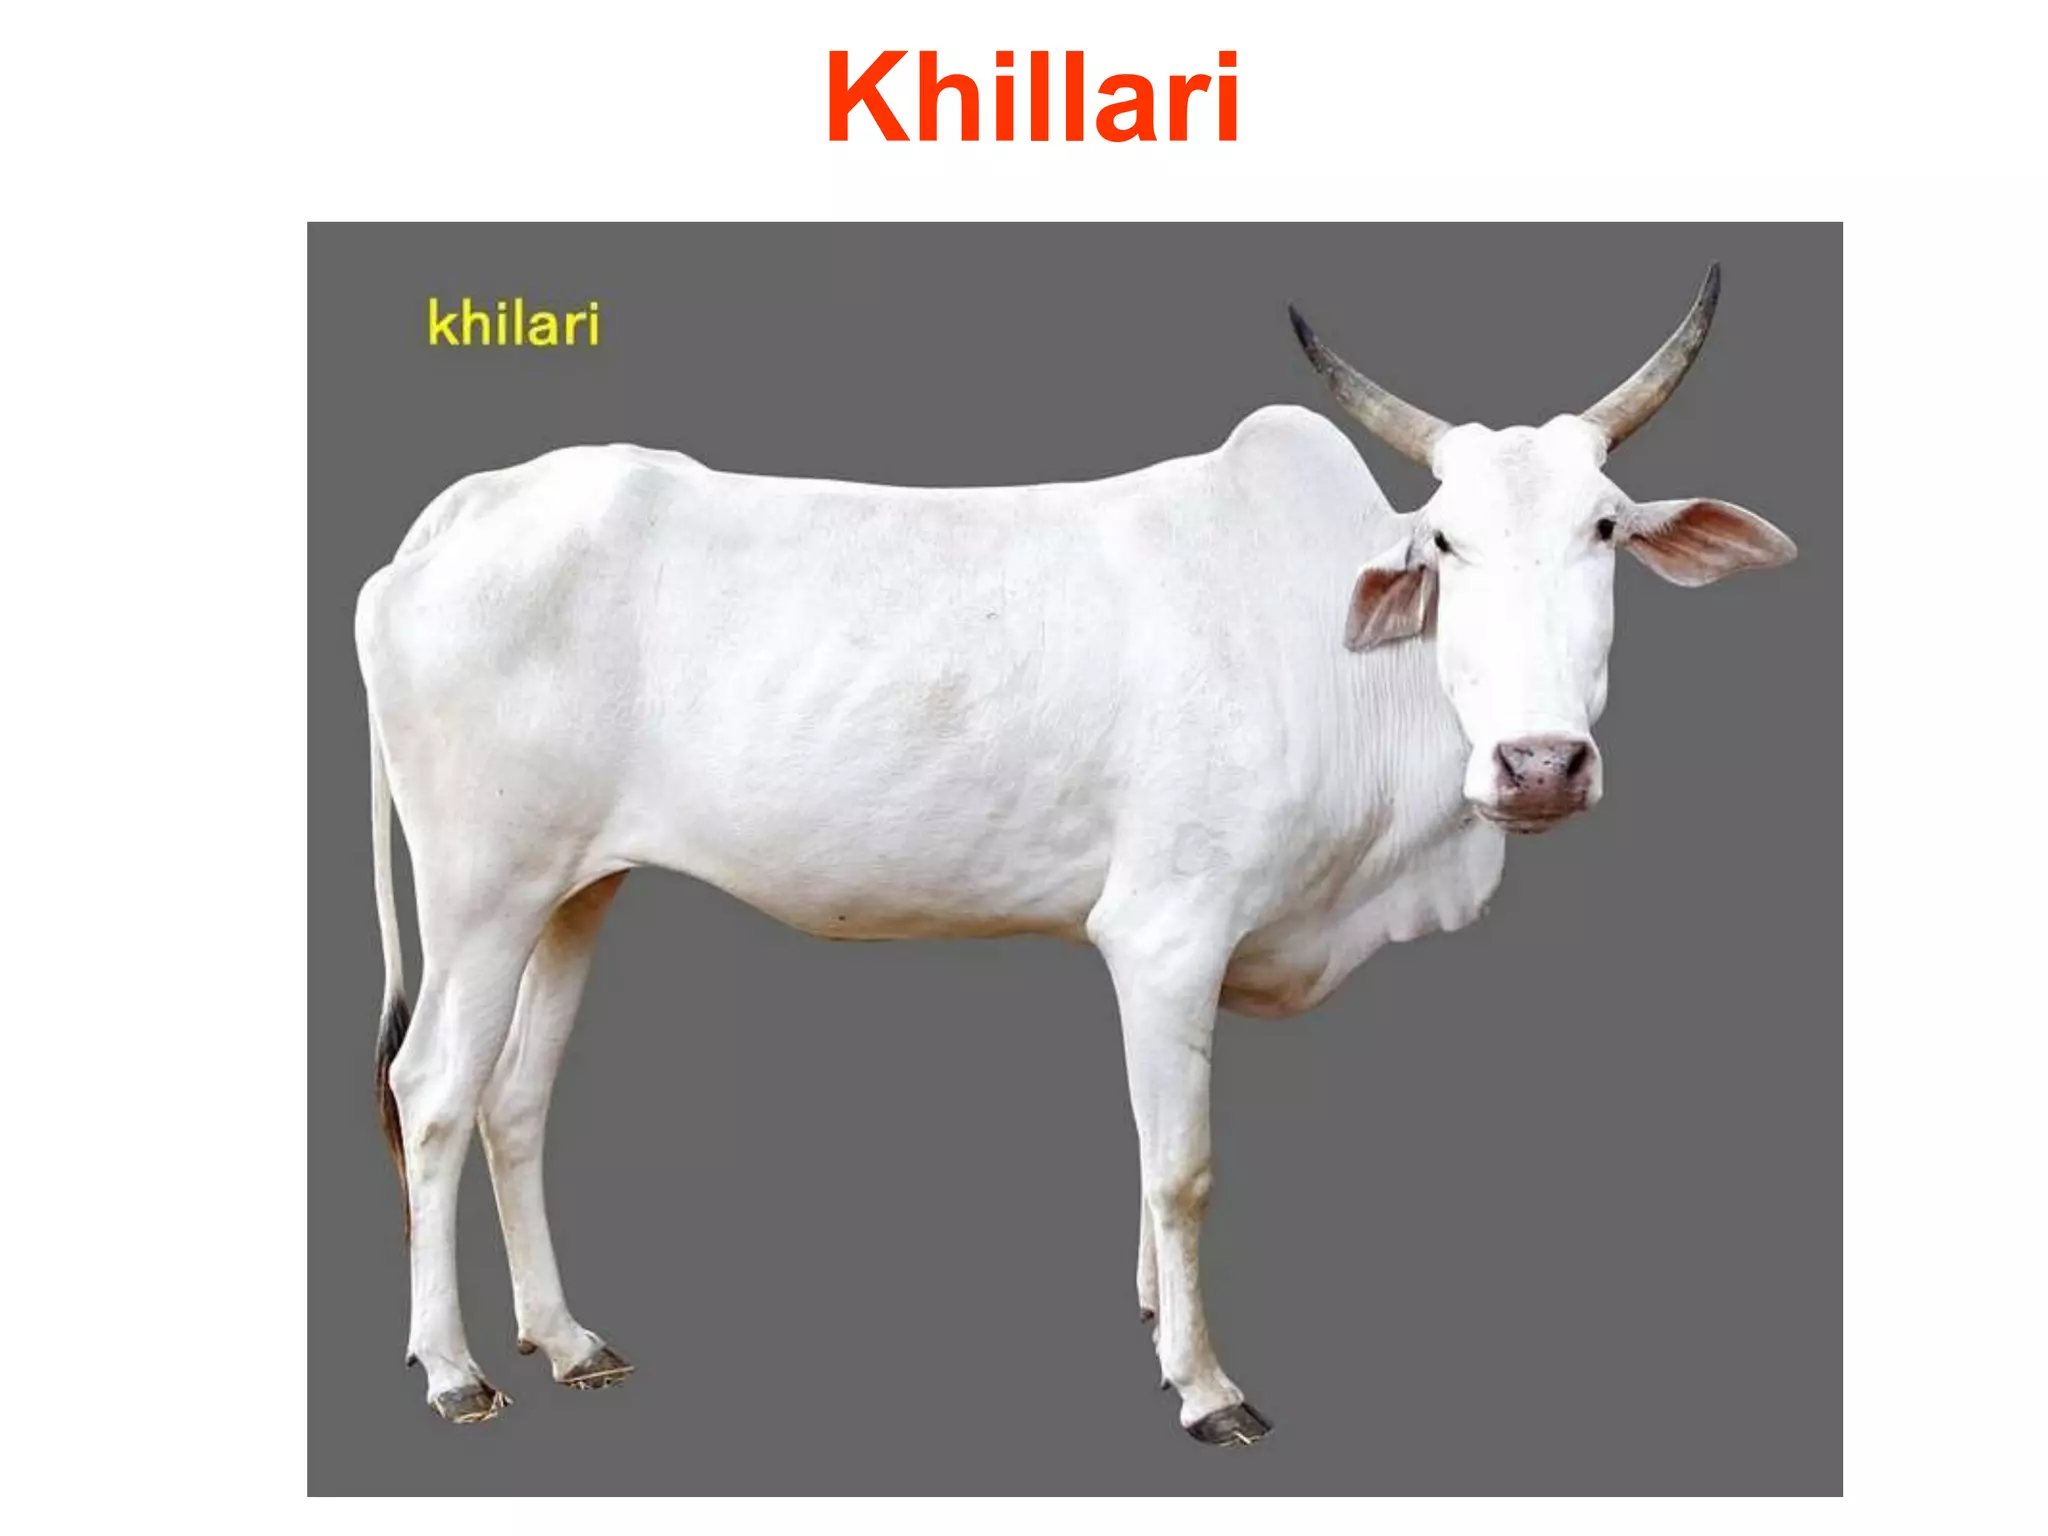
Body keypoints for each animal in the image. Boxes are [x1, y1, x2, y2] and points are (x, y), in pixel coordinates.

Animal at [354, 265, 1796, 1443]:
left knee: (516, 1100)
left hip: (573, 889)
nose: (1538, 764)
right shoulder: (1166, 934)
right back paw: (452, 1370)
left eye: (1603, 529)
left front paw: (1159, 1324)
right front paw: (1206, 1388)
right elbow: (1184, 1168)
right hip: (480, 888)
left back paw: (564, 1340)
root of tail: (462, 511)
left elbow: (1152, 1154)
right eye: (1443, 542)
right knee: (431, 1092)